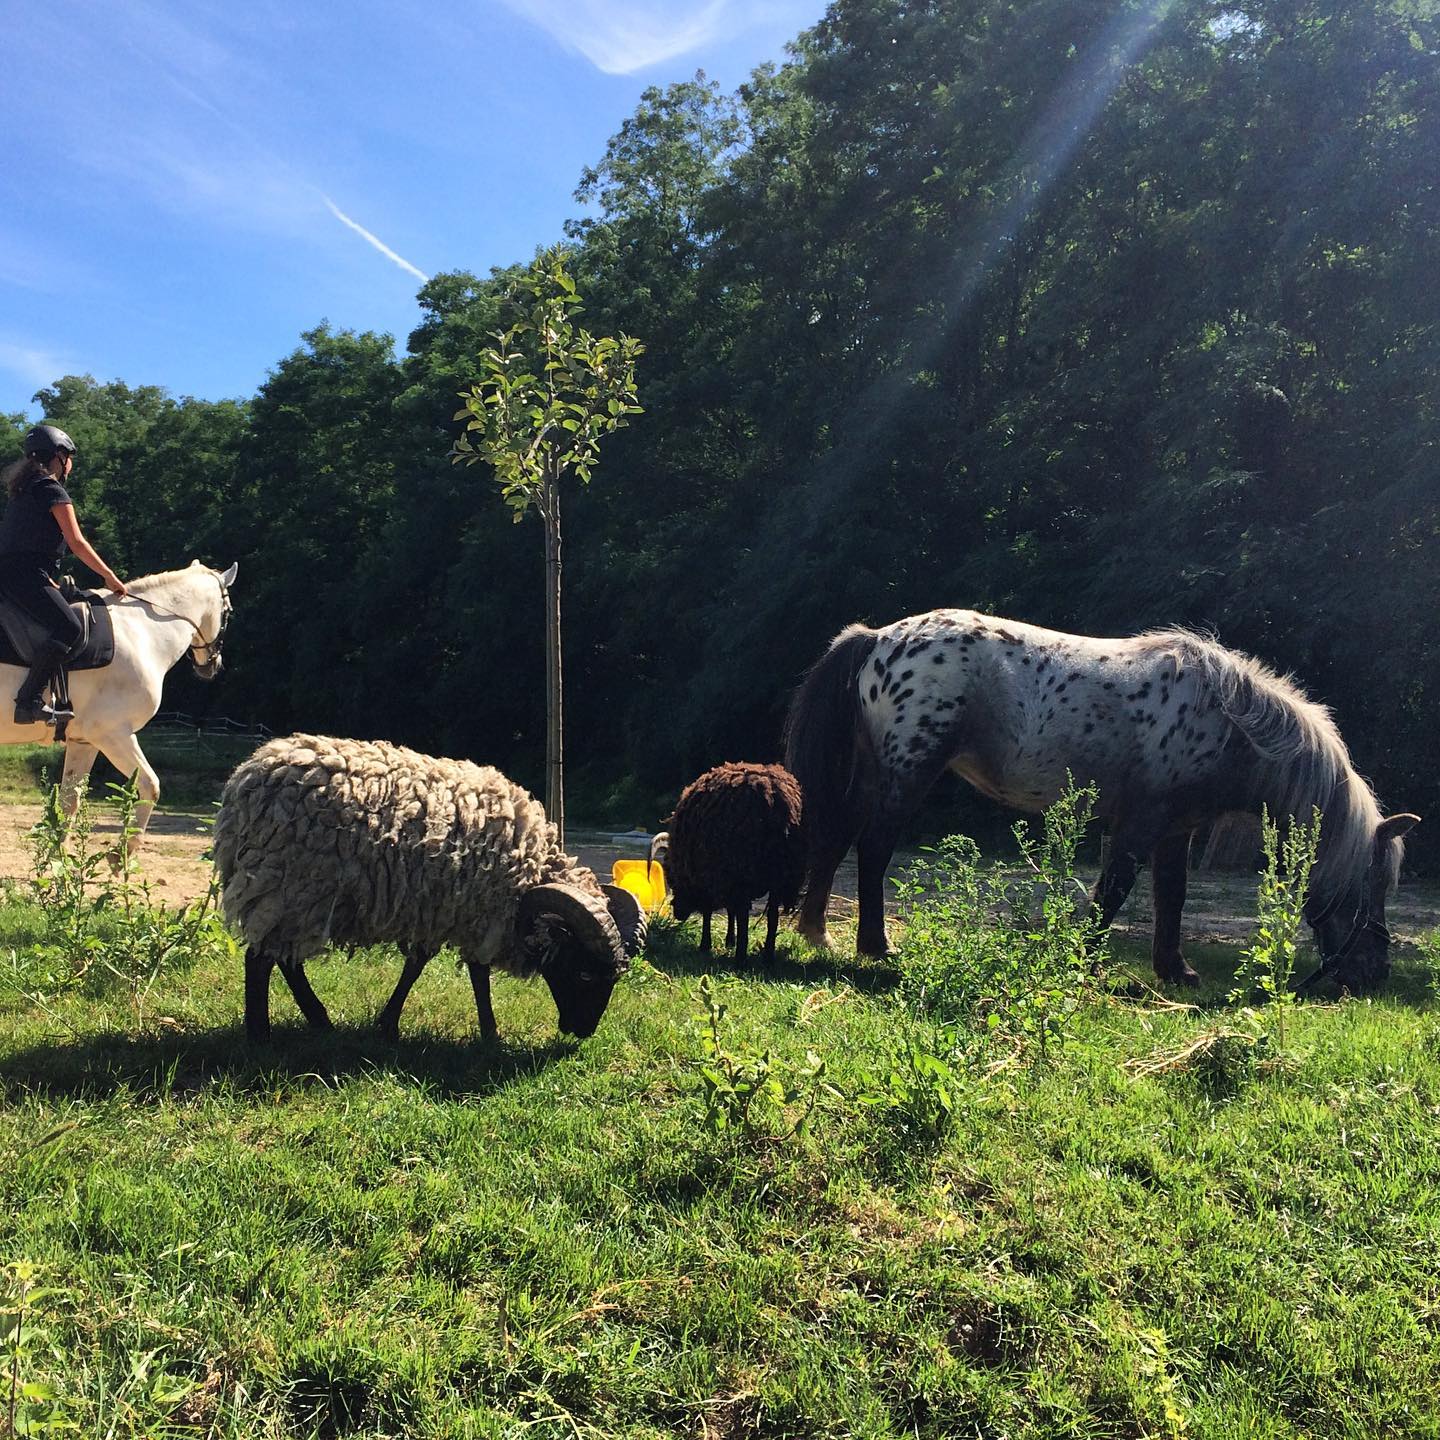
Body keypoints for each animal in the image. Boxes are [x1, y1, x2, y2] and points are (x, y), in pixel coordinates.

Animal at [0, 561, 237, 849]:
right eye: (228, 613)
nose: (212, 665)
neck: (143, 632)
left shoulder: (84, 741)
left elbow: (69, 801)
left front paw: (57, 857)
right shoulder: (113, 734)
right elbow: (150, 786)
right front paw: (122, 852)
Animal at [784, 609, 1419, 993]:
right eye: (1369, 886)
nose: (1374, 974)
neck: (1226, 720)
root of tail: (879, 638)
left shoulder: (1176, 831)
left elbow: (1171, 898)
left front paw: (1175, 970)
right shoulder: (1140, 823)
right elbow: (1114, 892)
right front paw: (1078, 959)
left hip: (871, 775)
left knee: (836, 839)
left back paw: (816, 931)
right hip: (907, 774)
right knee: (873, 849)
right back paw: (876, 947)